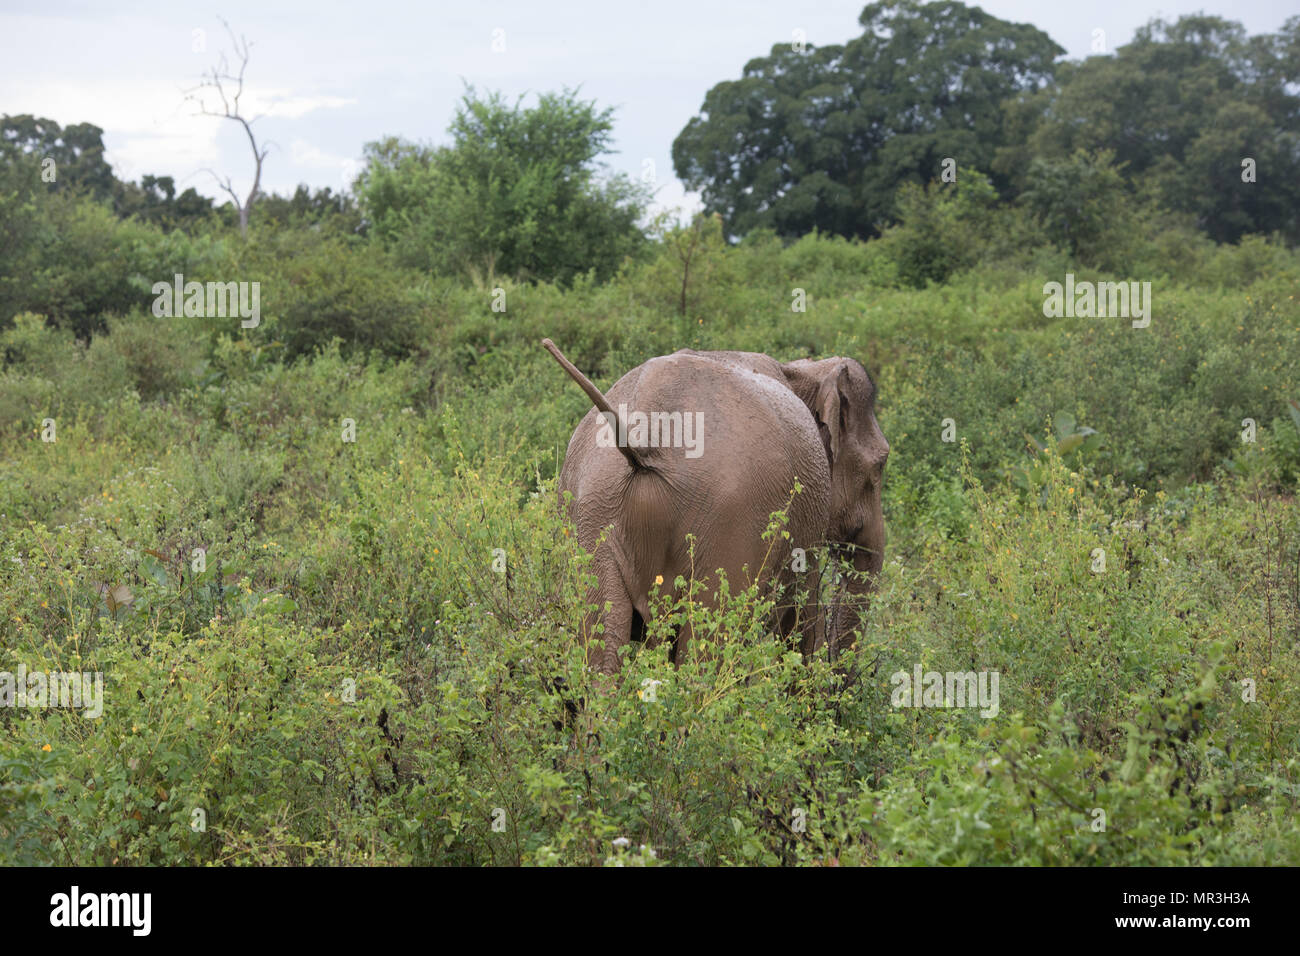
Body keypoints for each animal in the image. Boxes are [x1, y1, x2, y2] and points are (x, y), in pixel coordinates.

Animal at [543, 339, 888, 673]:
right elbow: (802, 613)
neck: (802, 371)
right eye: (881, 465)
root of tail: (645, 439)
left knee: (602, 642)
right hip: (731, 520)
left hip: (593, 508)